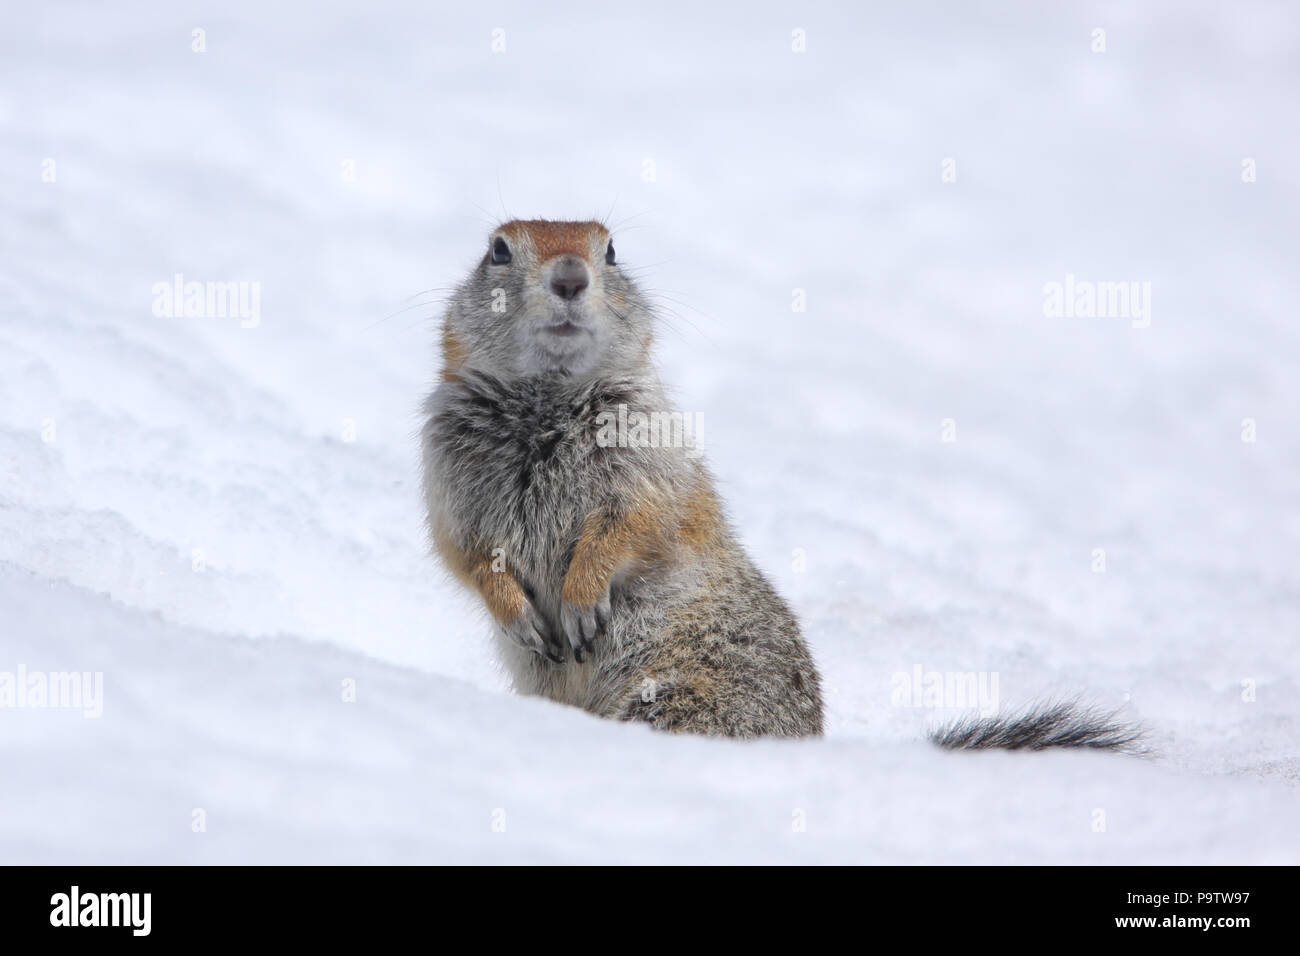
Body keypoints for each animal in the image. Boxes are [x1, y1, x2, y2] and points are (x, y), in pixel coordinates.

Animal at [421, 219, 1143, 751]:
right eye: (498, 249)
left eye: (612, 249)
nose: (571, 277)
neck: (546, 405)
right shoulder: (448, 485)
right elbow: (465, 554)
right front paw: (519, 614)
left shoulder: (649, 467)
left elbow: (631, 526)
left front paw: (579, 599)